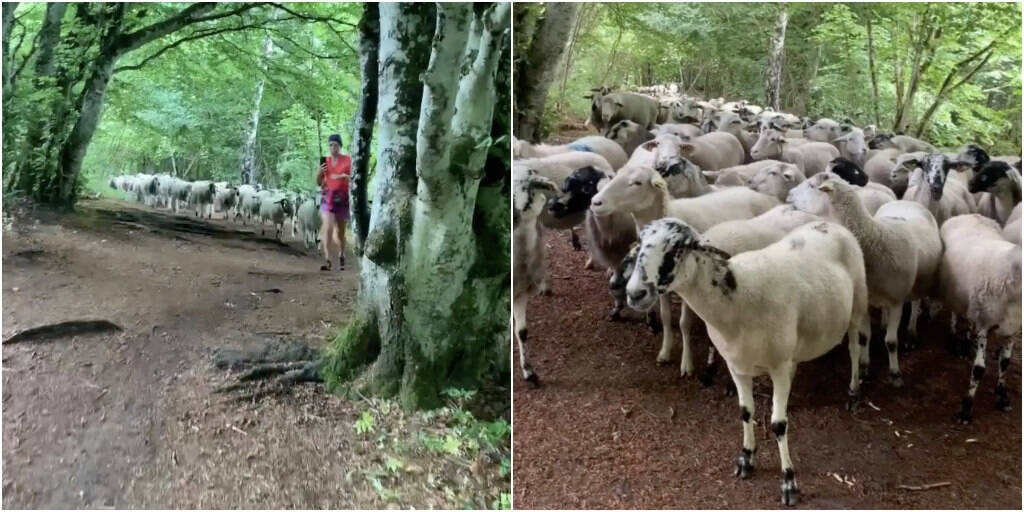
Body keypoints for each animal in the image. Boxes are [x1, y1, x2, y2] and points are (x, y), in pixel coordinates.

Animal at [625, 217, 868, 506]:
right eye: (640, 244)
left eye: (678, 248)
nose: (635, 293)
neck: (737, 300)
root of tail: (830, 223)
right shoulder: (737, 367)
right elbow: (745, 412)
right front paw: (746, 459)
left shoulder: (777, 366)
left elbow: (778, 424)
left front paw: (788, 482)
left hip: (857, 304)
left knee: (854, 347)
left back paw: (853, 392)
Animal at [816, 173, 942, 387]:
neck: (876, 240)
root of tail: (908, 202)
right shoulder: (865, 302)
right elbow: (864, 337)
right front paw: (865, 366)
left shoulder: (897, 302)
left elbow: (890, 342)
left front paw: (895, 374)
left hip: (919, 280)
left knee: (916, 302)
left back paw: (911, 331)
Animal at [936, 214, 1022, 423]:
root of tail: (967, 214)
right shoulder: (985, 324)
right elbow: (978, 369)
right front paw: (966, 408)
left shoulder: (1012, 329)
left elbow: (1005, 363)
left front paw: (1002, 396)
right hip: (954, 293)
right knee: (954, 314)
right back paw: (955, 339)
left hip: (972, 302)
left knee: (968, 322)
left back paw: (967, 342)